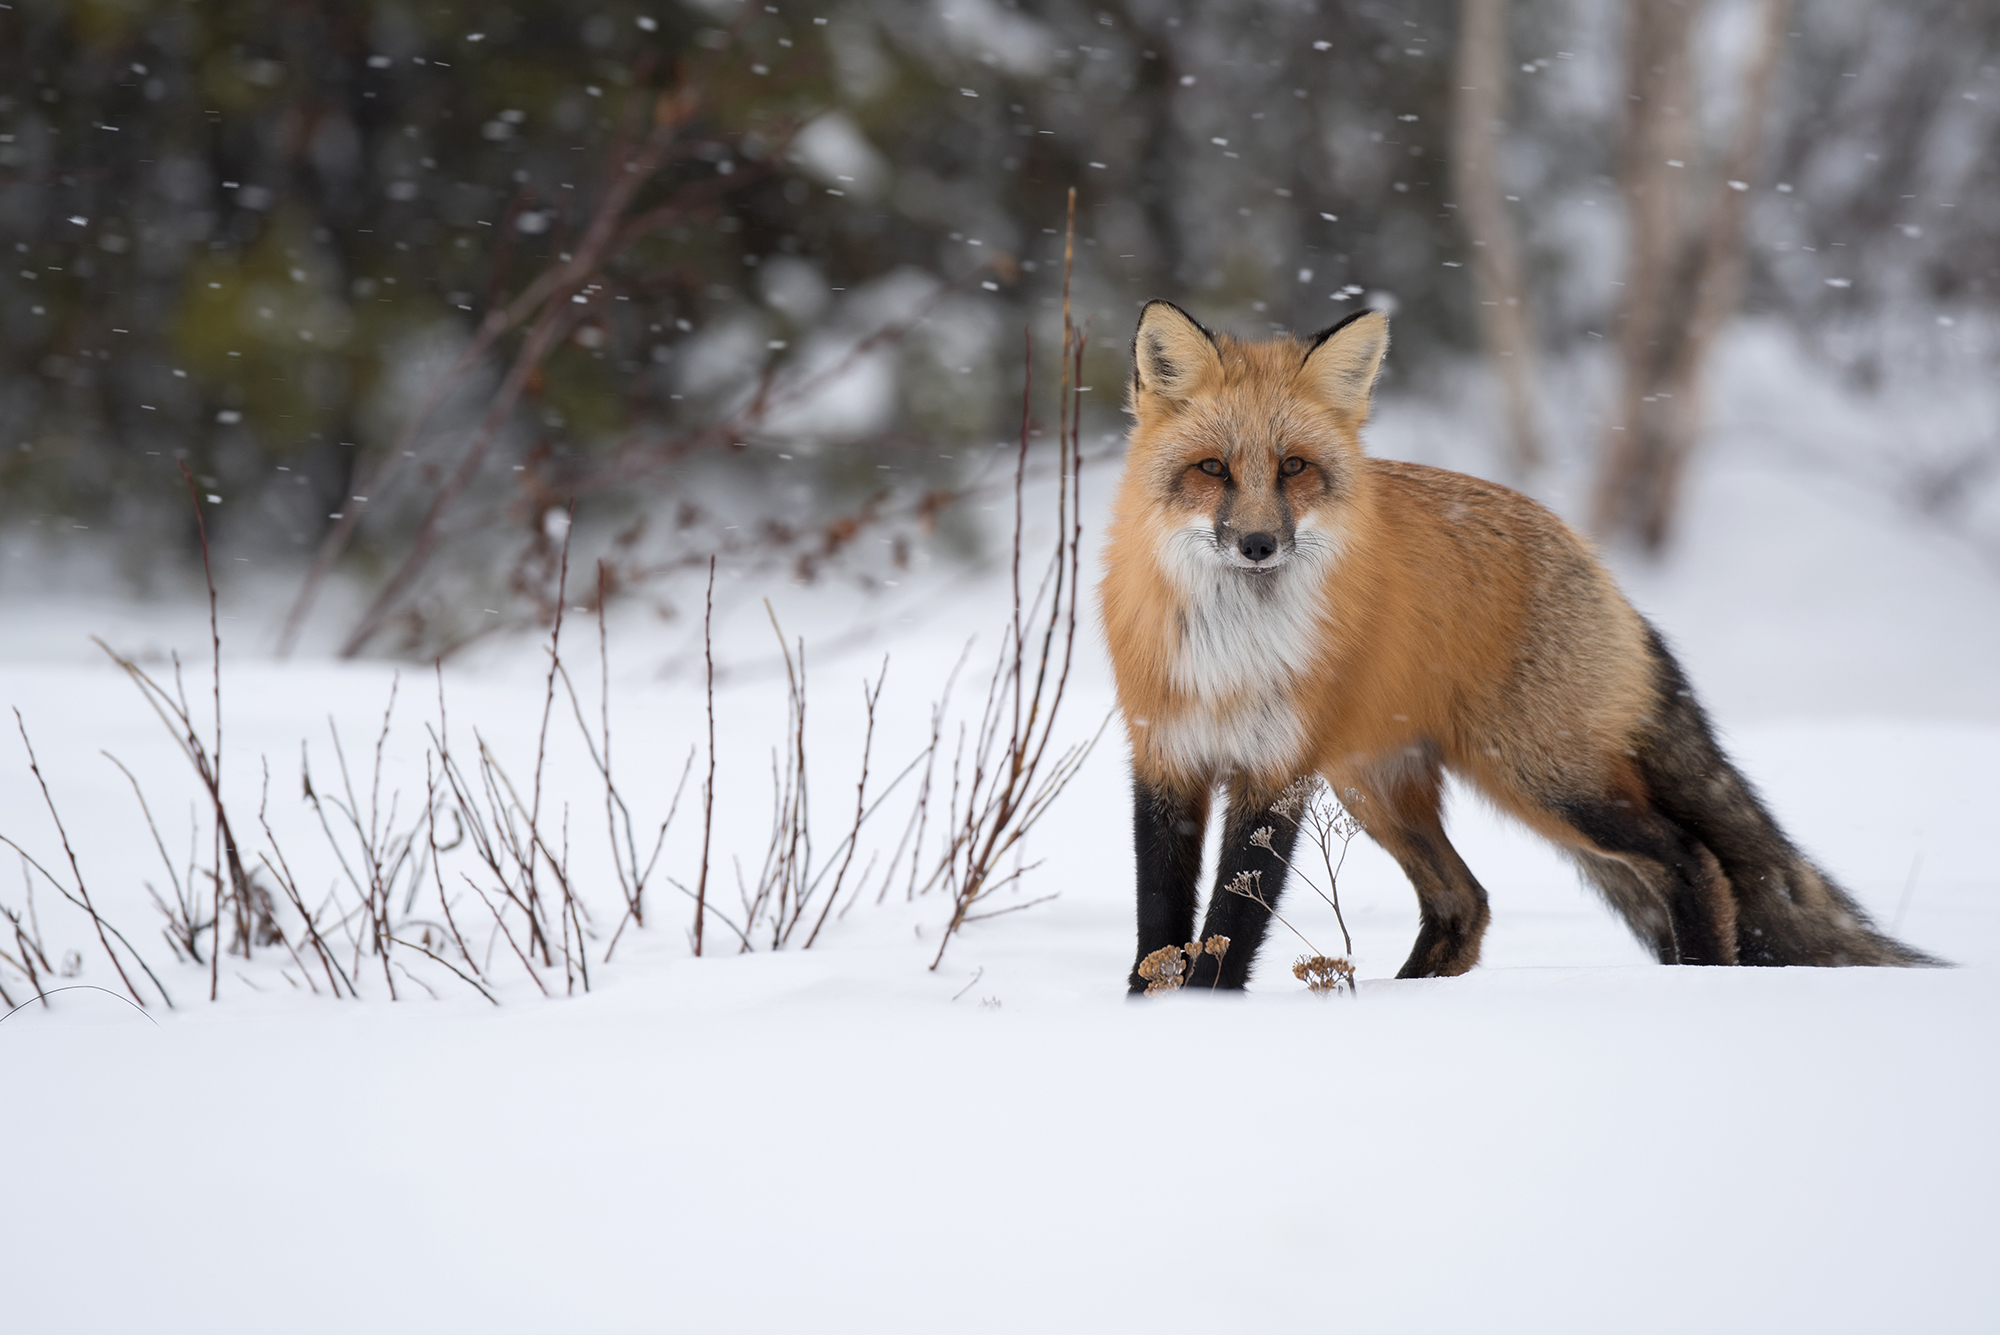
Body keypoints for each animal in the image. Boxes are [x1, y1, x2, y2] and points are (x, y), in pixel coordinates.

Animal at [1099, 300, 1939, 991]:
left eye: (1294, 467)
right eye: (1212, 468)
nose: (1259, 544)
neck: (1232, 653)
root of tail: (1593, 558)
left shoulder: (1278, 771)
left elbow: (1231, 924)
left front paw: (1207, 1011)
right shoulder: (1164, 757)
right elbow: (1159, 921)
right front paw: (1148, 1011)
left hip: (1546, 780)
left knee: (1688, 856)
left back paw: (1697, 981)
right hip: (1381, 787)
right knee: (1464, 900)